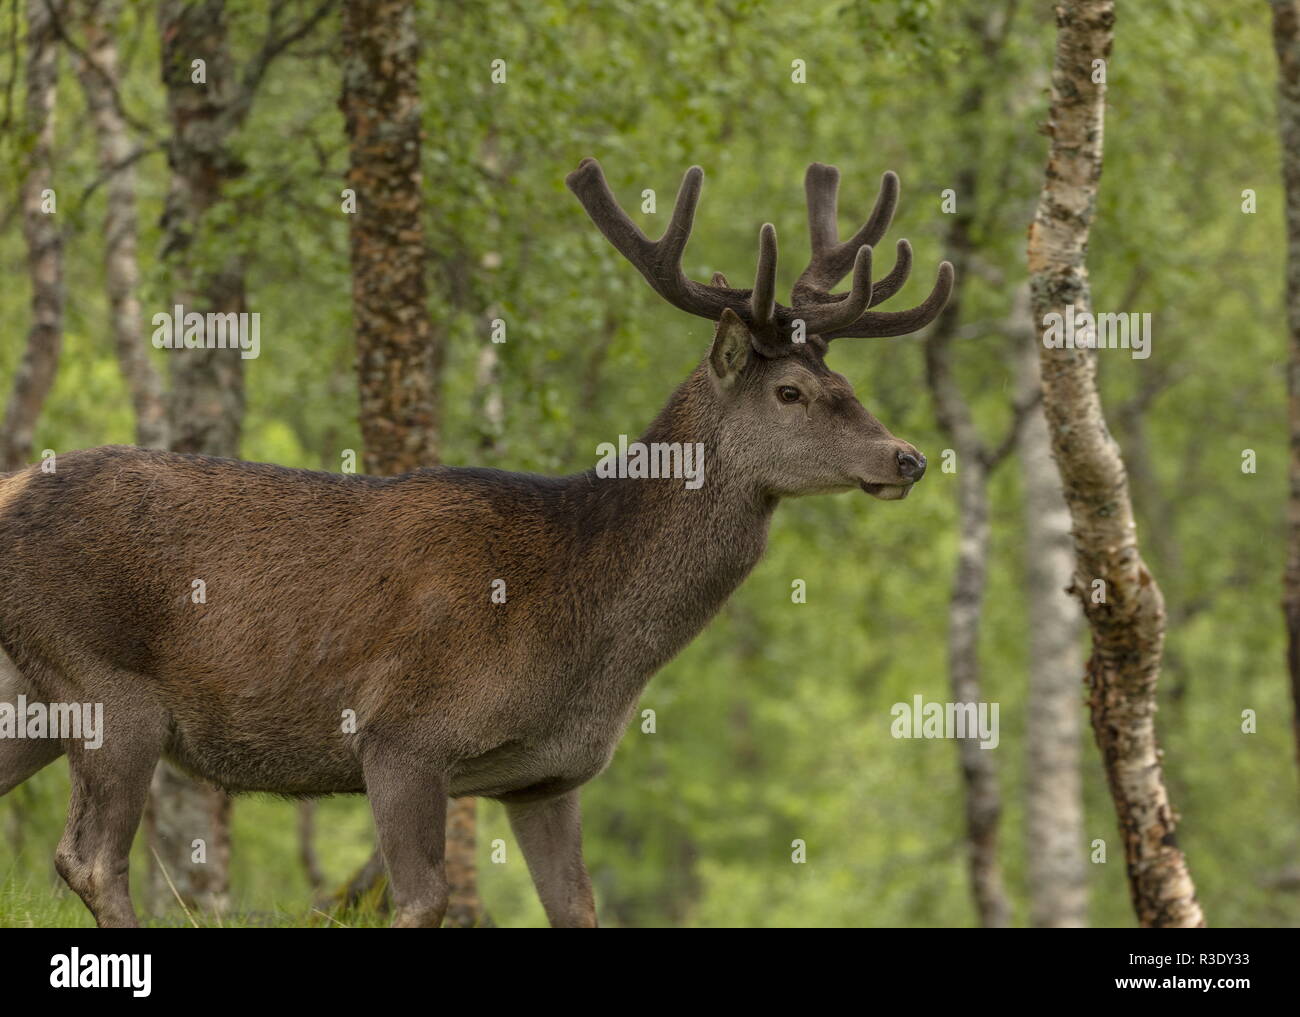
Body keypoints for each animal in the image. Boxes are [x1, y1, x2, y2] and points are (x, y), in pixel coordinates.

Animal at [0, 158, 951, 928]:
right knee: (90, 856)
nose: (907, 456)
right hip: (107, 683)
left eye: (845, 380)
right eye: (791, 392)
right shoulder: (401, 732)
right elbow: (423, 901)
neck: (582, 636)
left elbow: (578, 908)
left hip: (35, 693)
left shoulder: (546, 777)